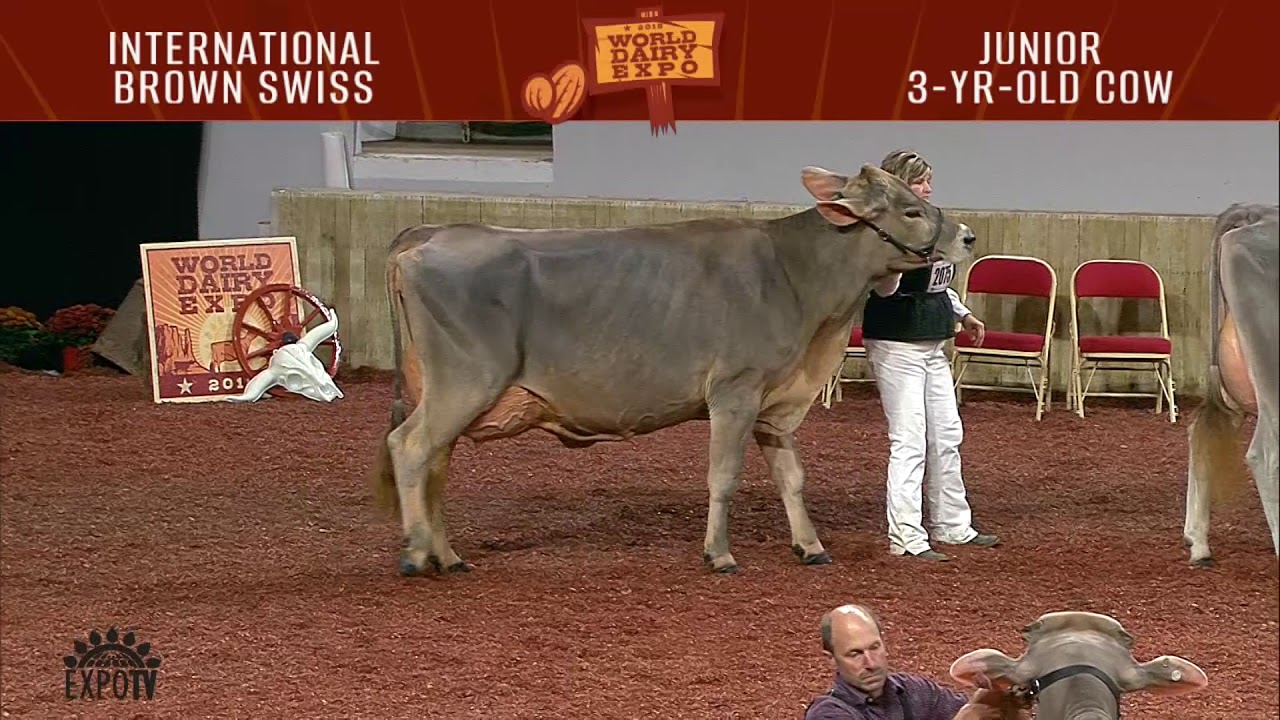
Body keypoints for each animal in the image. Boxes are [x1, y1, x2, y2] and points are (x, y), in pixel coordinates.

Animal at [368, 163, 976, 577]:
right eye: (912, 210)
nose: (967, 235)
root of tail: (428, 234)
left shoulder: (775, 402)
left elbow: (792, 478)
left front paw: (810, 546)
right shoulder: (735, 390)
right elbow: (724, 476)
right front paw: (720, 554)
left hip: (449, 390)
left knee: (435, 462)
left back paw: (448, 555)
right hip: (465, 382)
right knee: (410, 446)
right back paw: (417, 553)